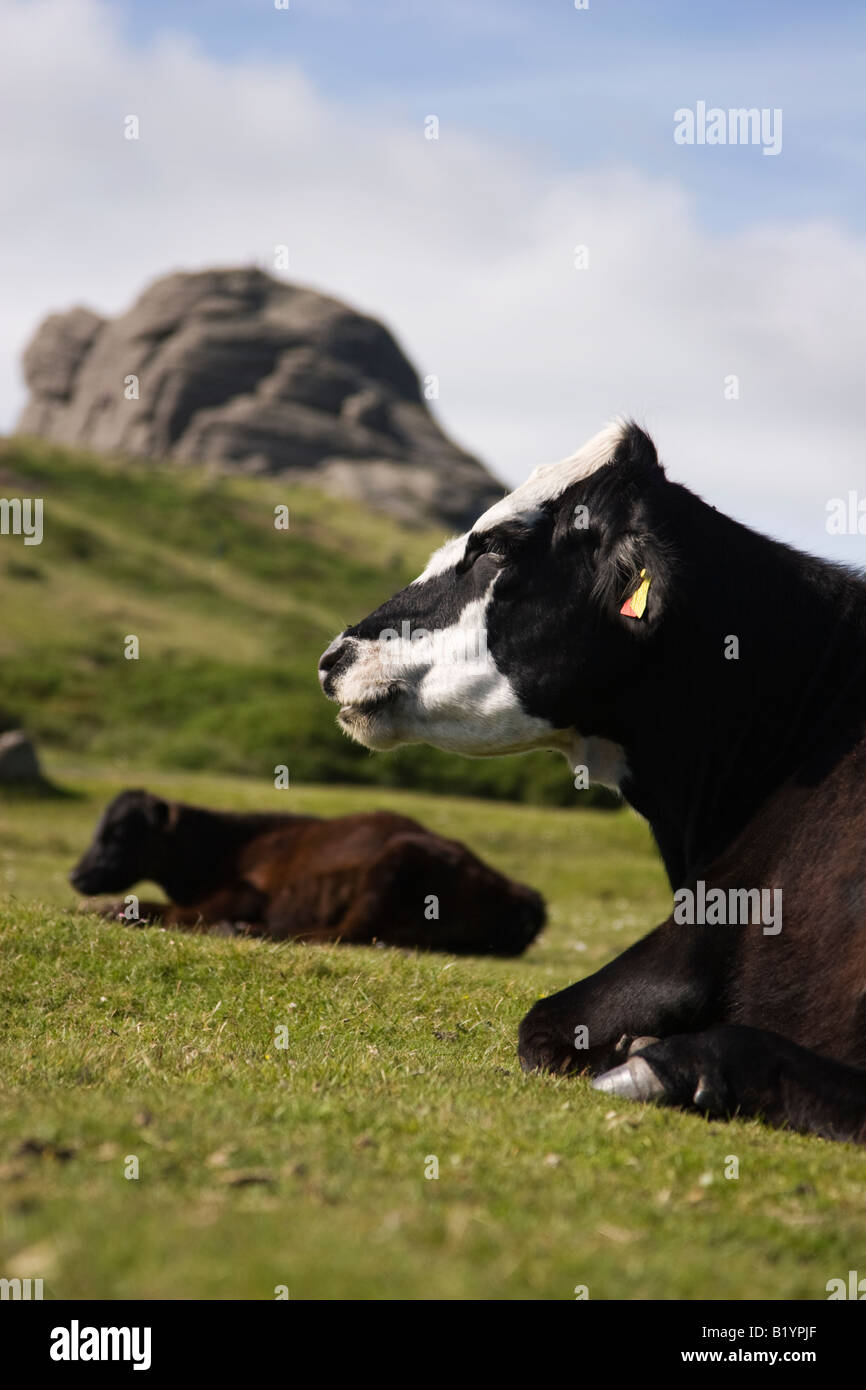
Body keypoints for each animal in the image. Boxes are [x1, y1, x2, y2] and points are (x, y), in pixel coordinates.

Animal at [69, 790, 545, 956]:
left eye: (119, 833)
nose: (76, 875)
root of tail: (523, 895)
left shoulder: (241, 894)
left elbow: (160, 911)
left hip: (395, 864)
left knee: (344, 934)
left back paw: (244, 930)